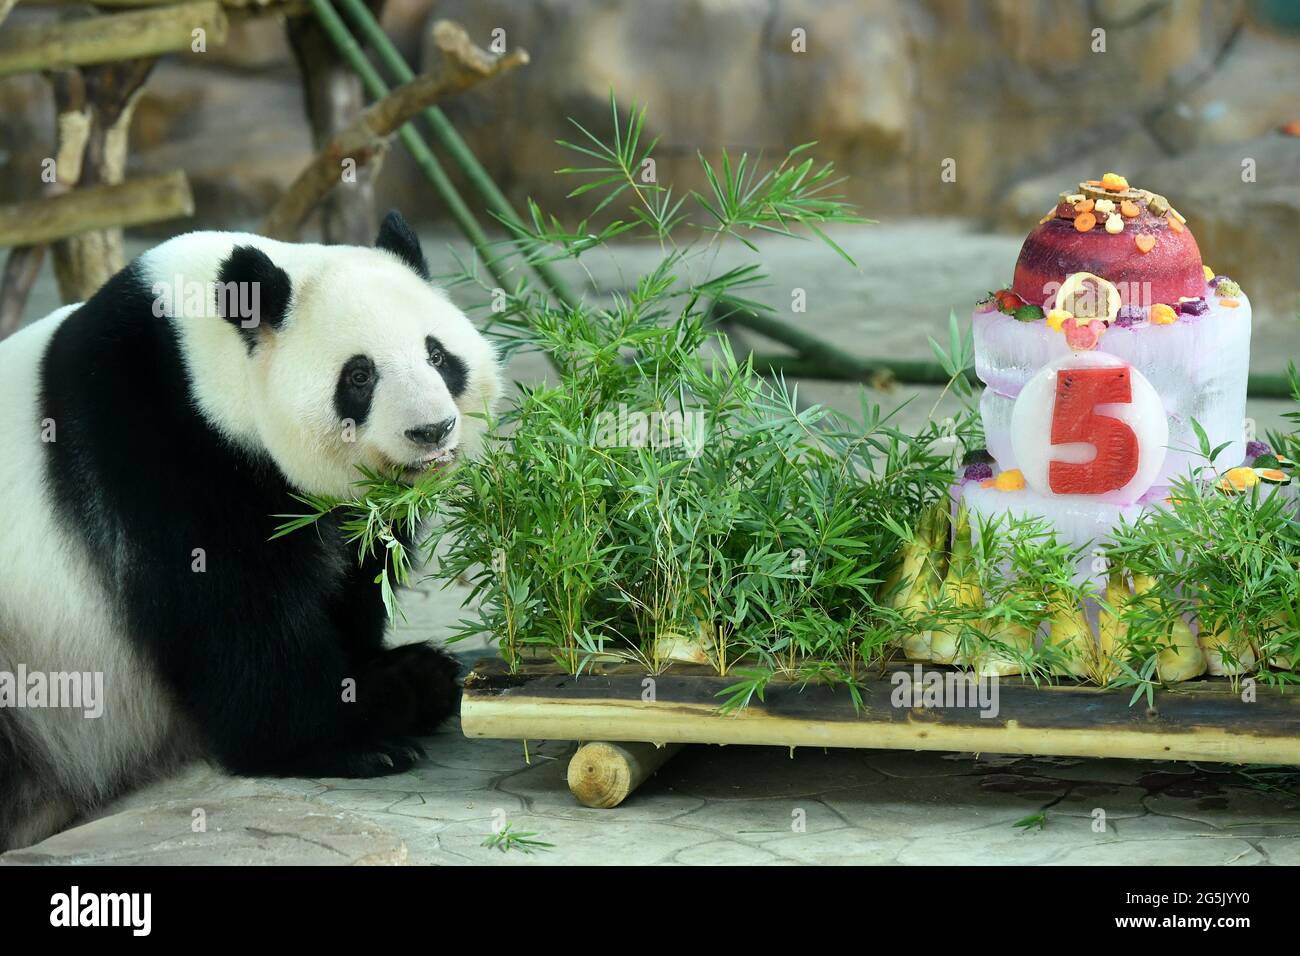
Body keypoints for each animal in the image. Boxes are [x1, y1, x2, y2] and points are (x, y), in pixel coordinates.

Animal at [0, 211, 502, 850]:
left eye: (438, 355)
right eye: (360, 375)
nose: (431, 430)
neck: (202, 362)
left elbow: (354, 576)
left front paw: (398, 676)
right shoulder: (153, 449)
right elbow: (232, 618)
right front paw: (356, 734)